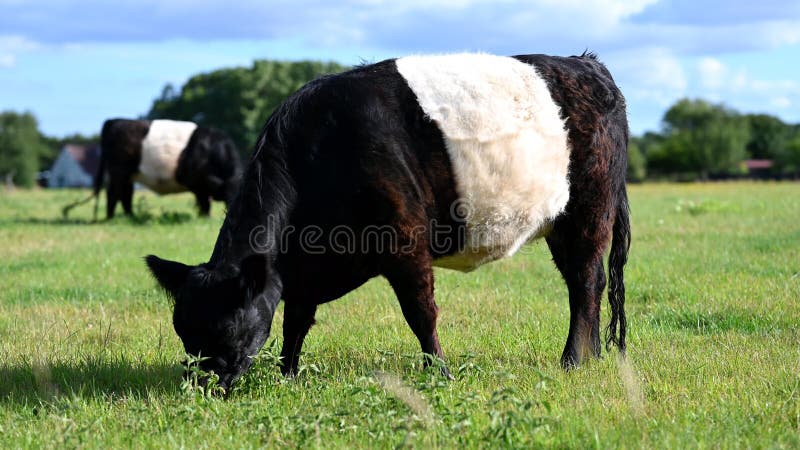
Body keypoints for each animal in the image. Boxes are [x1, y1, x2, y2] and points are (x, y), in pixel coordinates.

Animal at [94, 119, 242, 219]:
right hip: (118, 171)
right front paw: (205, 217)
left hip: (128, 175)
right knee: (114, 193)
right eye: (228, 196)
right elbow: (204, 203)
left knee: (126, 195)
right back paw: (111, 218)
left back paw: (130, 217)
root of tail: (114, 120)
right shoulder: (196, 184)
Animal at [146, 52, 631, 391]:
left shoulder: (404, 243)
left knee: (587, 282)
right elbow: (295, 321)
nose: (203, 385)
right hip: (561, 224)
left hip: (589, 211)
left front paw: (440, 374)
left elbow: (421, 314)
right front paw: (288, 374)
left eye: (228, 326)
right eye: (181, 328)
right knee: (583, 284)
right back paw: (591, 357)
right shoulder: (302, 271)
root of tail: (589, 65)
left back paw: (572, 361)